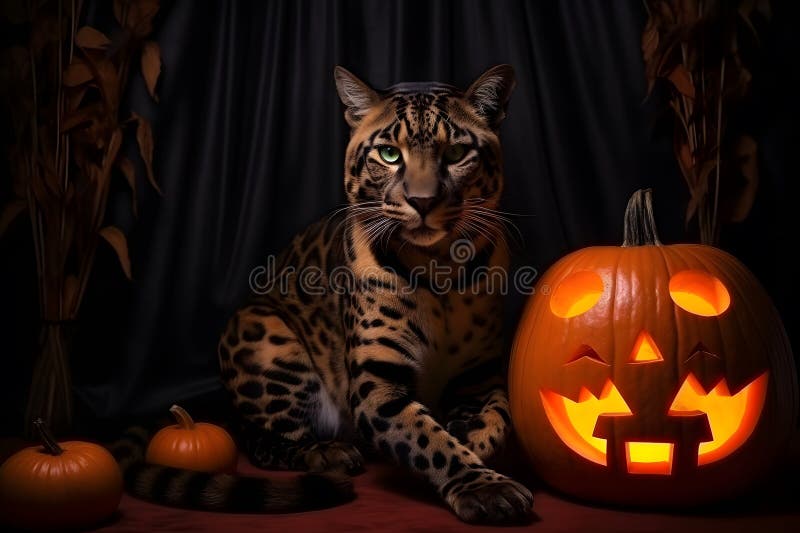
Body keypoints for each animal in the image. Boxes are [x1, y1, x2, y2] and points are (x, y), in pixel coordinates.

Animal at [115, 64, 532, 524]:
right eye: (389, 154)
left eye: (457, 153)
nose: (422, 202)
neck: (437, 267)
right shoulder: (376, 385)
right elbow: (429, 440)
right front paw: (484, 487)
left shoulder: (482, 373)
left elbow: (500, 416)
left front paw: (471, 434)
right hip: (263, 331)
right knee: (262, 442)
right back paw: (327, 453)